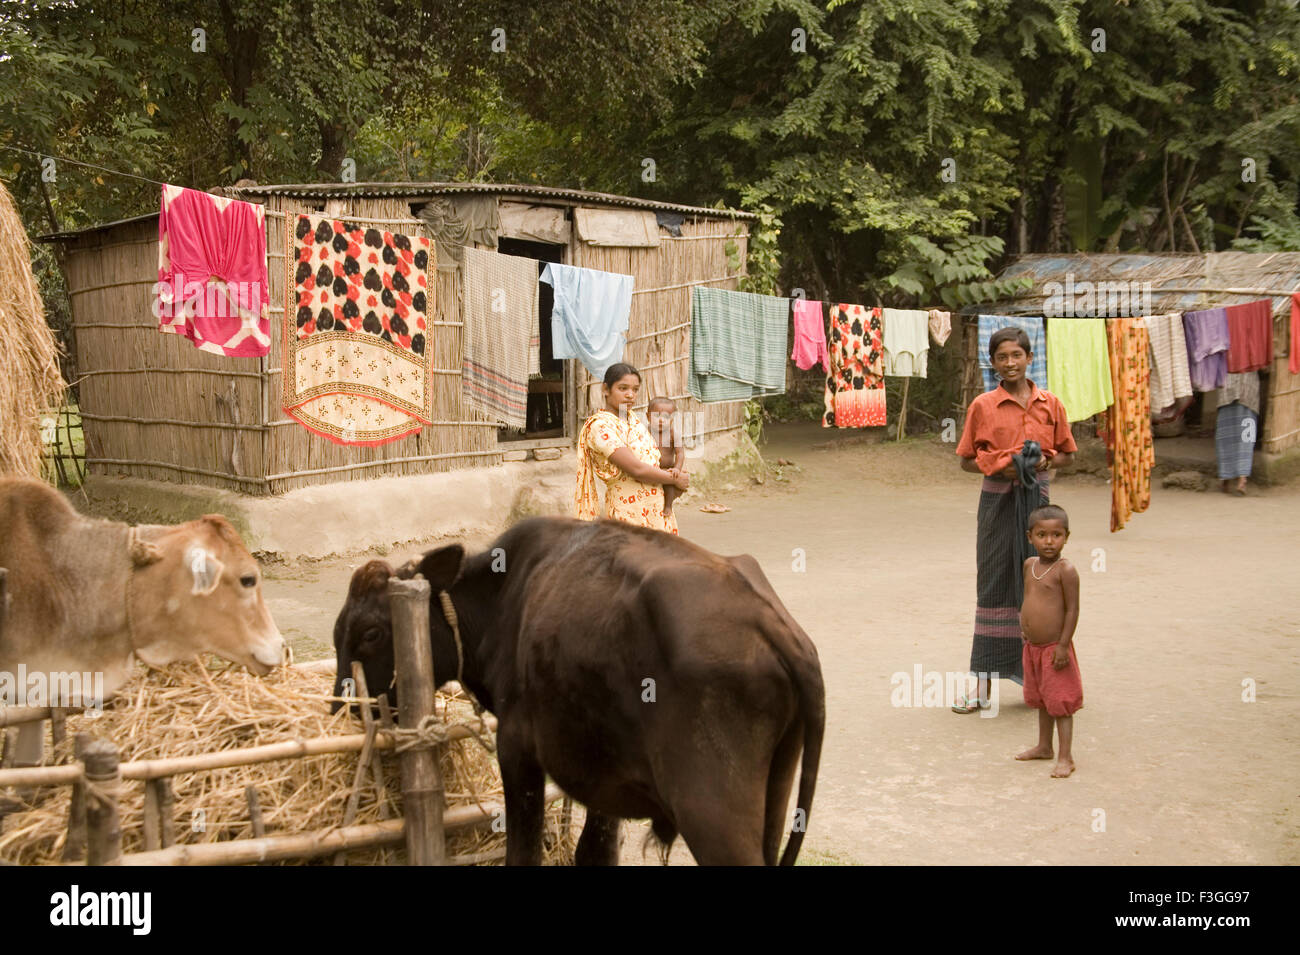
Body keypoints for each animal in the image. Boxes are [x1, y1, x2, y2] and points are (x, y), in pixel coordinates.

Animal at [335, 519, 821, 867]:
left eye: (371, 633)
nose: (341, 707)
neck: (502, 599)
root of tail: (775, 624)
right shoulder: (606, 764)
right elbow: (595, 851)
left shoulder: (517, 746)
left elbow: (524, 852)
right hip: (774, 794)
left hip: (710, 810)